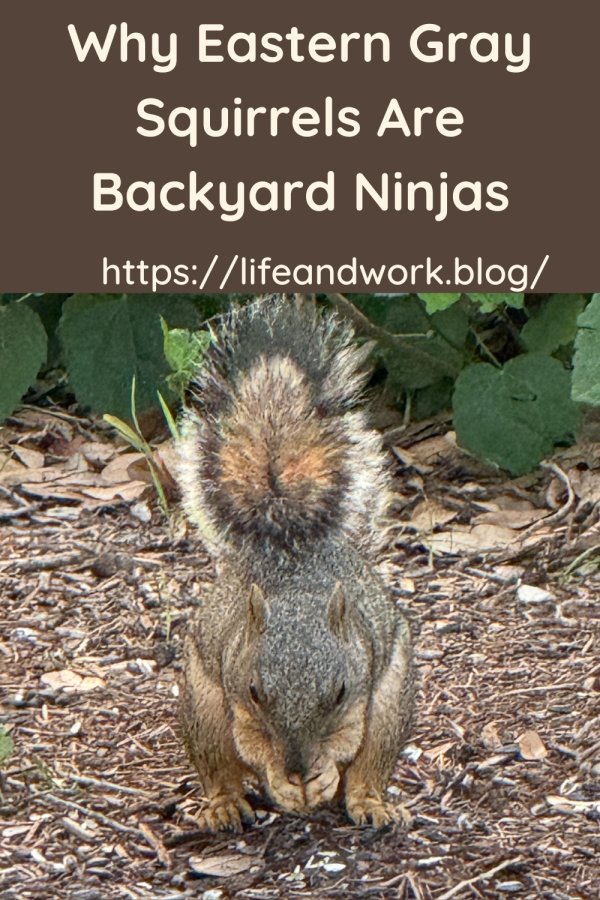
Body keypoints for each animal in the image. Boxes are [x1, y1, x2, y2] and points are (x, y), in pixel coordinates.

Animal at [176, 294, 413, 832]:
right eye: (255, 690)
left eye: (340, 691)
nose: (298, 766)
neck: (297, 591)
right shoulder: (234, 686)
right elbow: (251, 746)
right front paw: (280, 777)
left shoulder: (361, 685)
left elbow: (346, 741)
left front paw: (322, 775)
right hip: (203, 706)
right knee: (220, 765)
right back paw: (224, 804)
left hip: (391, 703)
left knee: (369, 764)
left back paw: (369, 801)